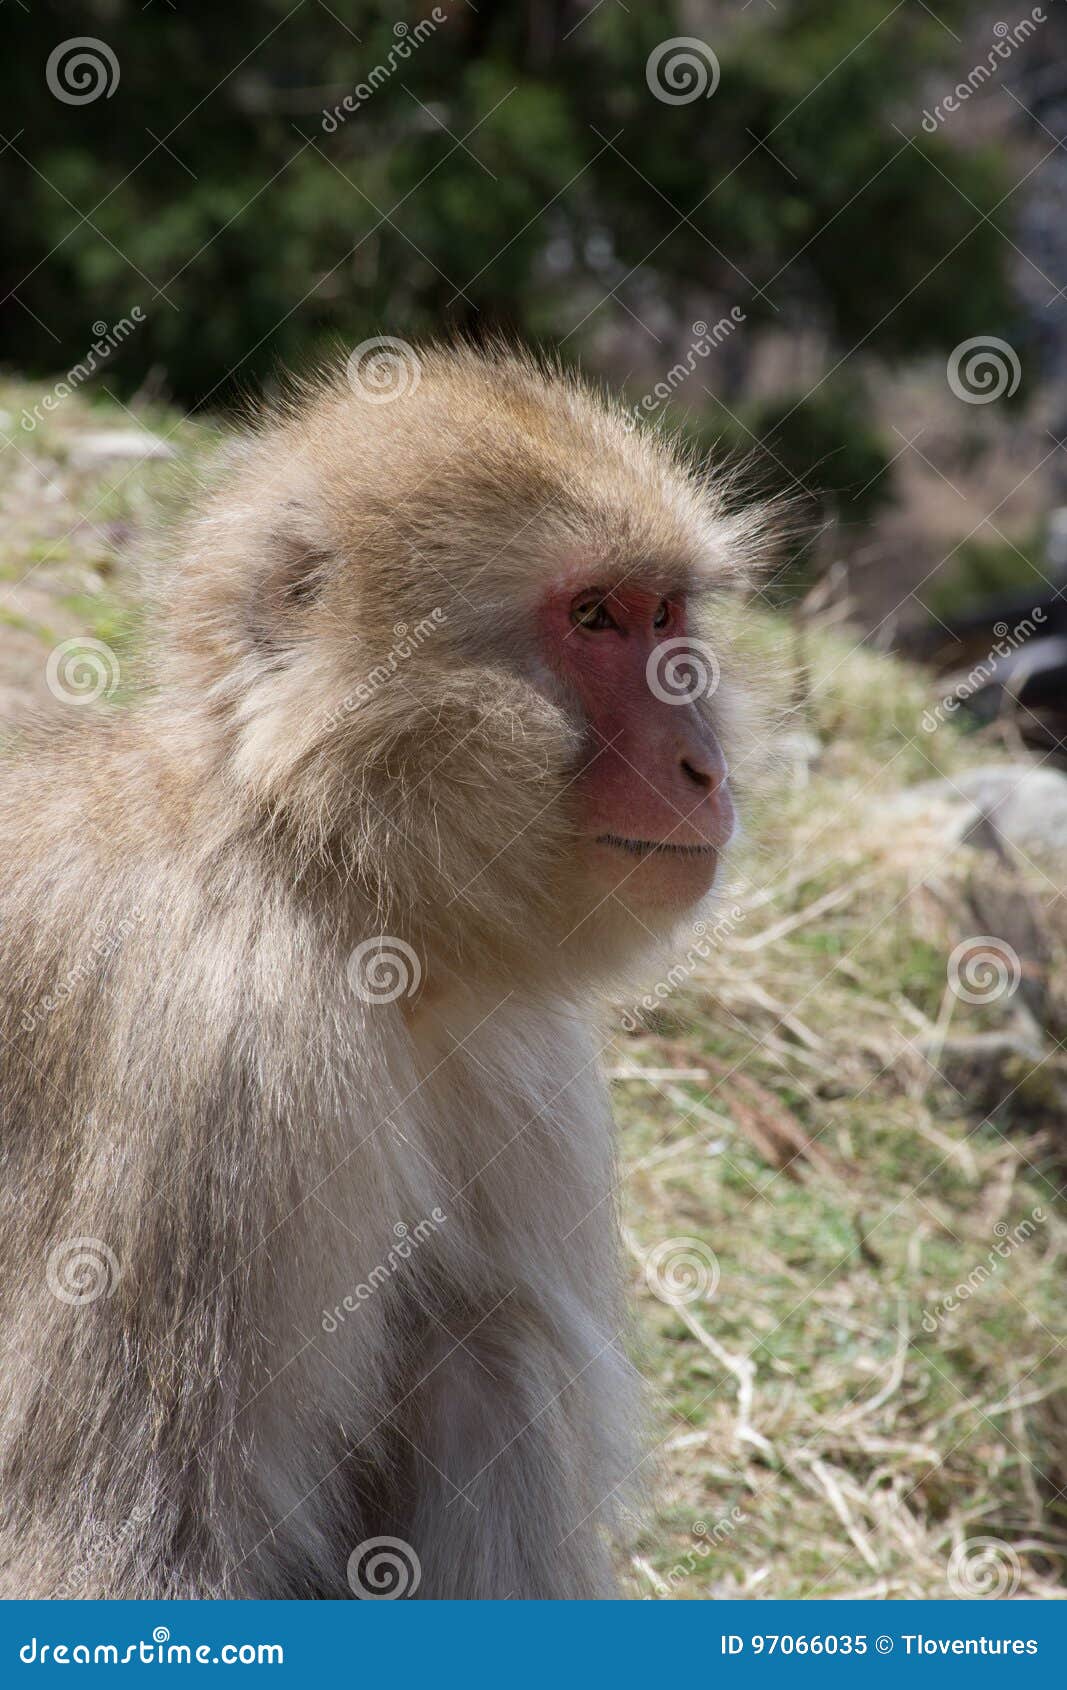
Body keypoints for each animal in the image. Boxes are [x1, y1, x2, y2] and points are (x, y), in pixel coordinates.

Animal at [0, 344, 771, 1600]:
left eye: (665, 617)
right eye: (593, 618)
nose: (702, 765)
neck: (335, 883)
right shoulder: (228, 1064)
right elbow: (118, 1539)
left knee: (480, 1354)